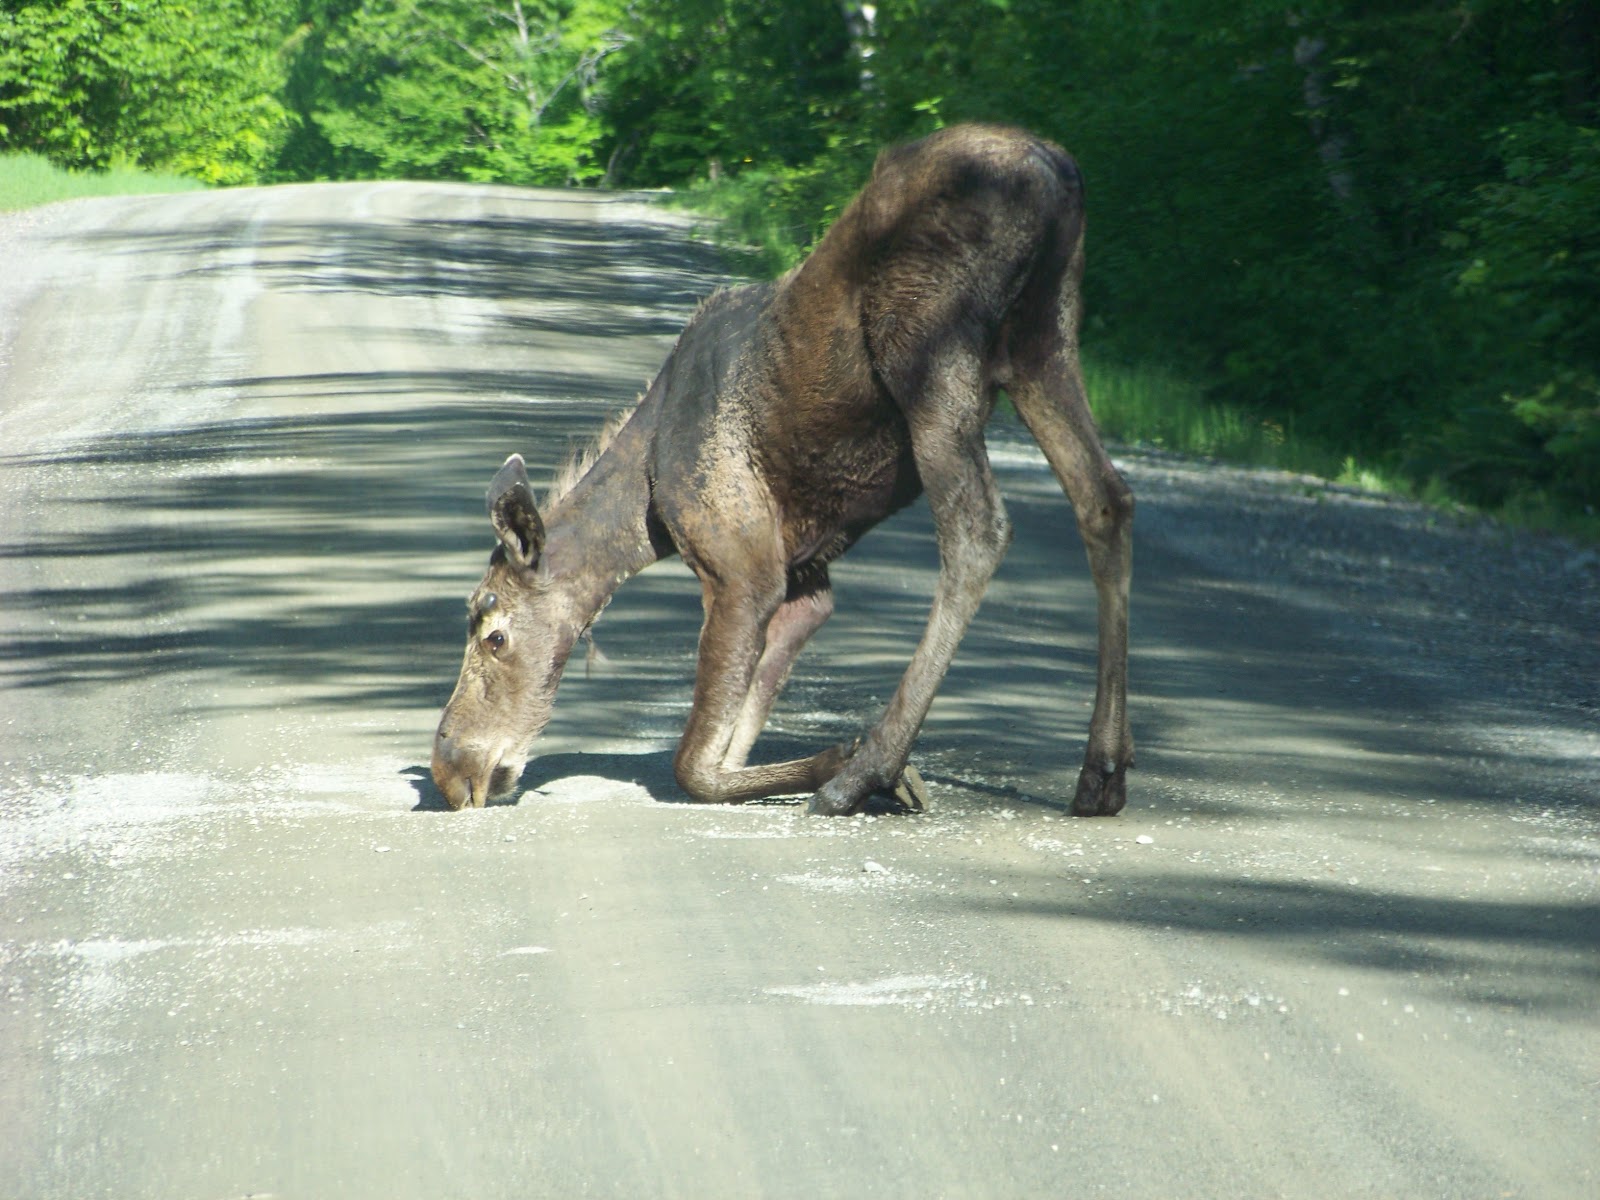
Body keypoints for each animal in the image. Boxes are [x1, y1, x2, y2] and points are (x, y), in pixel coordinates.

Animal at [431, 124, 1134, 818]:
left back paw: (870, 770)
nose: (450, 770)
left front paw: (848, 760)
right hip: (1042, 340)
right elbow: (735, 736)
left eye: (494, 634)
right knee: (1105, 498)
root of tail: (1056, 170)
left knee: (978, 530)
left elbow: (692, 767)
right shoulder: (805, 584)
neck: (645, 515)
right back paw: (1101, 771)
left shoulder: (743, 567)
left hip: (932, 357)